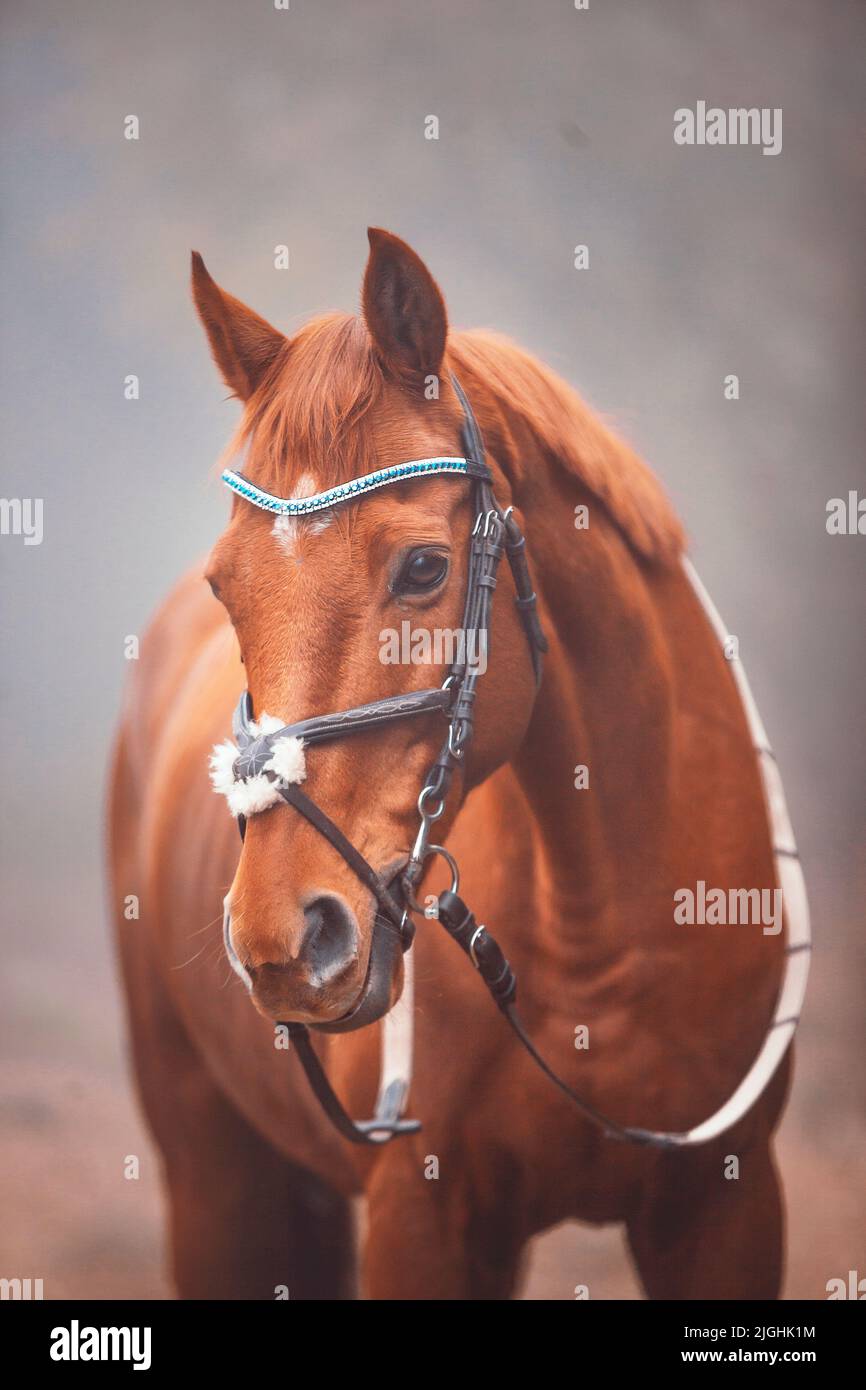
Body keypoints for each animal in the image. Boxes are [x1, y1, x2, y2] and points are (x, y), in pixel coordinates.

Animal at [108, 228, 809, 1300]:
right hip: (214, 1177)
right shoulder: (423, 1215)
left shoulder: (727, 1203)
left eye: (425, 568)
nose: (281, 937)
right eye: (227, 586)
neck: (604, 941)